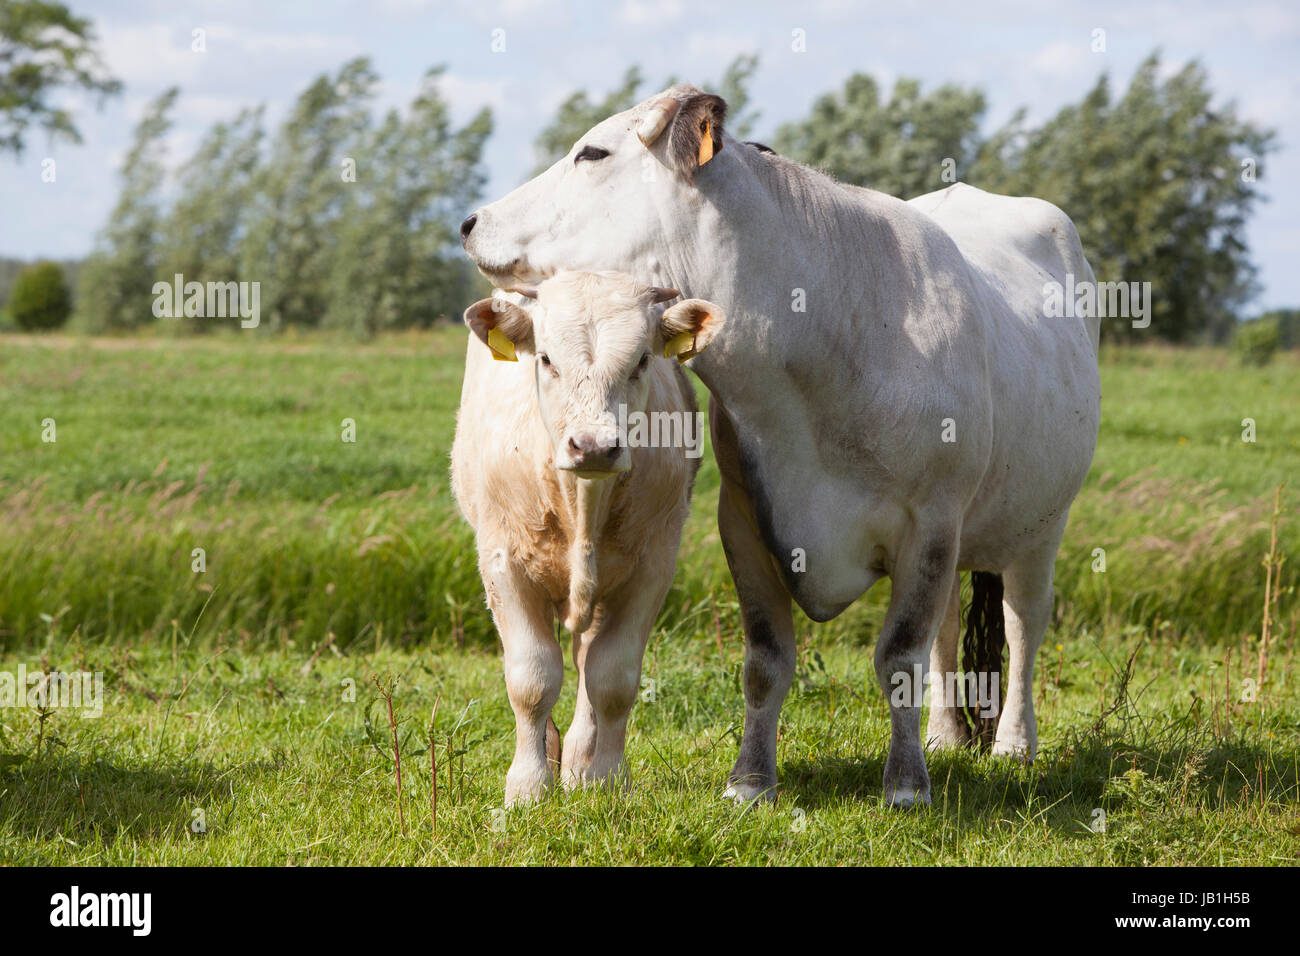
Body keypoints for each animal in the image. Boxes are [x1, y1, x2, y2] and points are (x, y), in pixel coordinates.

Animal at [451, 270, 726, 806]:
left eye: (642, 360)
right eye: (545, 358)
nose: (594, 446)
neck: (582, 502)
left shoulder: (652, 567)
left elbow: (612, 678)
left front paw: (606, 777)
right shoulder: (503, 564)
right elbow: (532, 678)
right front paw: (527, 786)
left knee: (586, 664)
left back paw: (578, 761)